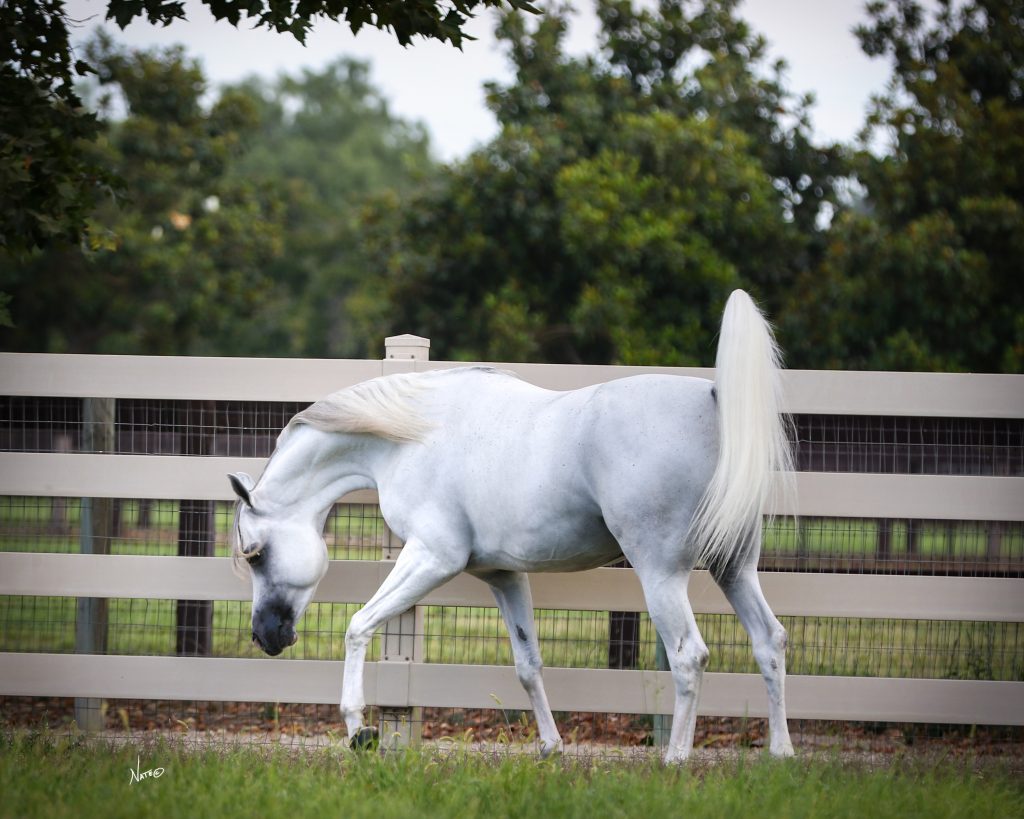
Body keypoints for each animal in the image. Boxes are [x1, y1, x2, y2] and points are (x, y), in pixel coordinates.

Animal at [228, 289, 795, 763]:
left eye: (256, 552)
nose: (265, 635)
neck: (412, 437)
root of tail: (714, 399)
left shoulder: (432, 557)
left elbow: (358, 625)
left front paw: (357, 731)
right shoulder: (502, 576)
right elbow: (528, 663)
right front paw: (549, 746)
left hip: (661, 574)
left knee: (689, 656)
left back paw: (675, 758)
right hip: (734, 567)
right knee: (769, 641)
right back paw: (781, 752)